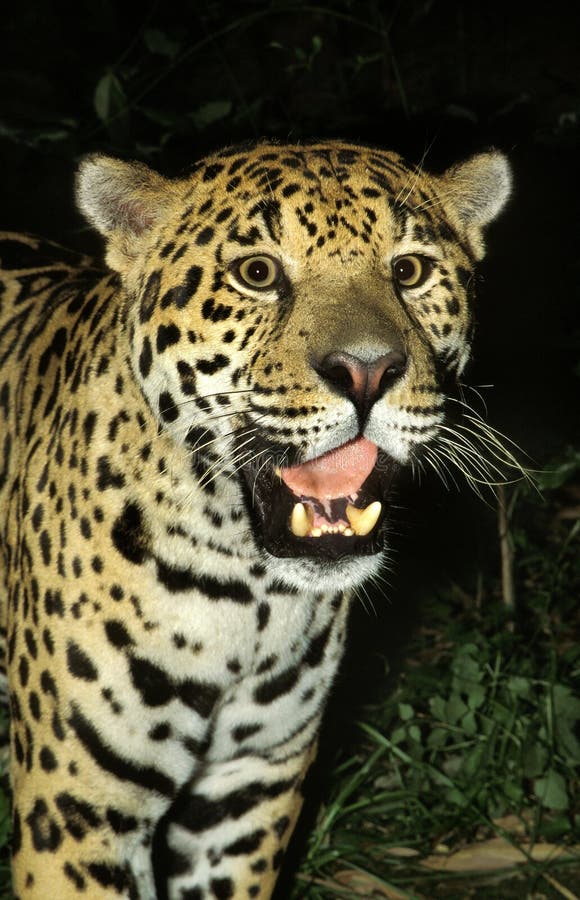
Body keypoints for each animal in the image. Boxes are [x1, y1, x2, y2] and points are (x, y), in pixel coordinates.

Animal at [0, 138, 511, 899]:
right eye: (258, 274)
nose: (367, 371)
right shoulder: (80, 812)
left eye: (410, 270)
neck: (240, 588)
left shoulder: (249, 793)